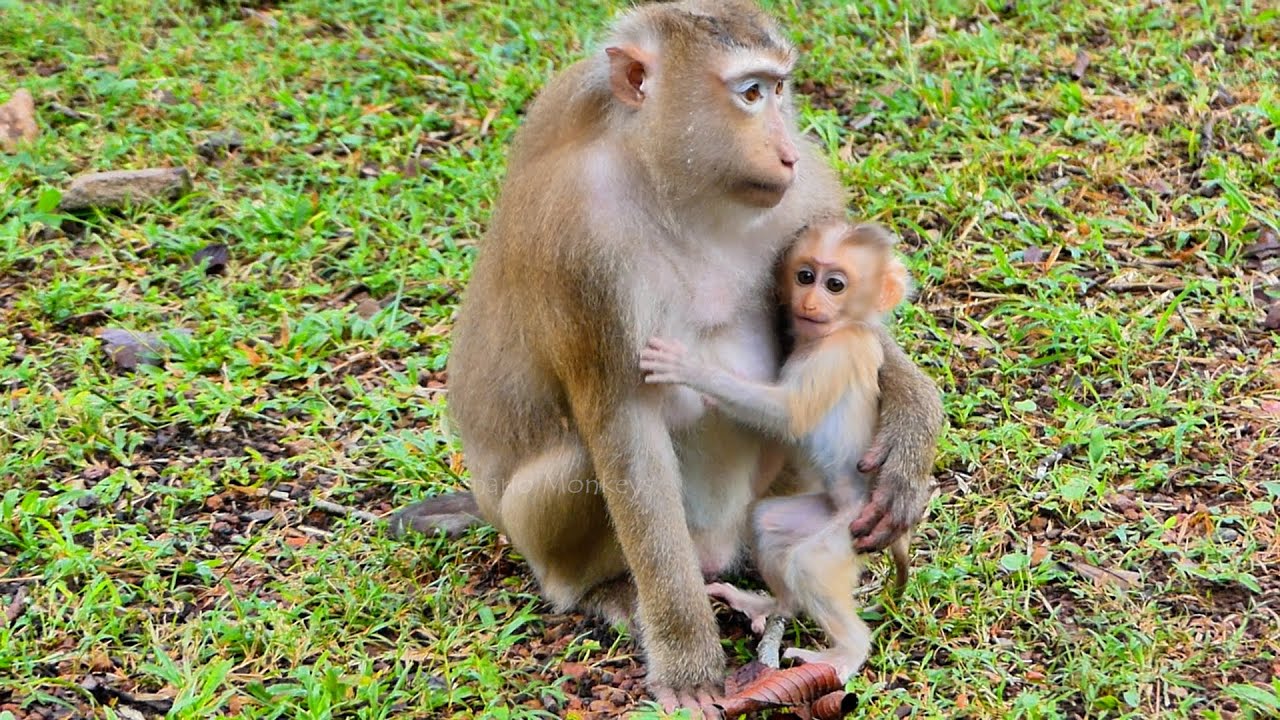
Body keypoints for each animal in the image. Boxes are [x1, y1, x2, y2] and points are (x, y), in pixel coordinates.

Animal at [639, 221, 915, 681]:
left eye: (835, 284)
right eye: (805, 276)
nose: (809, 301)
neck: (837, 330)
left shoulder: (837, 354)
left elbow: (790, 416)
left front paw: (692, 369)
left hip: (852, 528)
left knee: (810, 563)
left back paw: (846, 654)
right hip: (825, 514)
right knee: (767, 522)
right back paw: (772, 605)